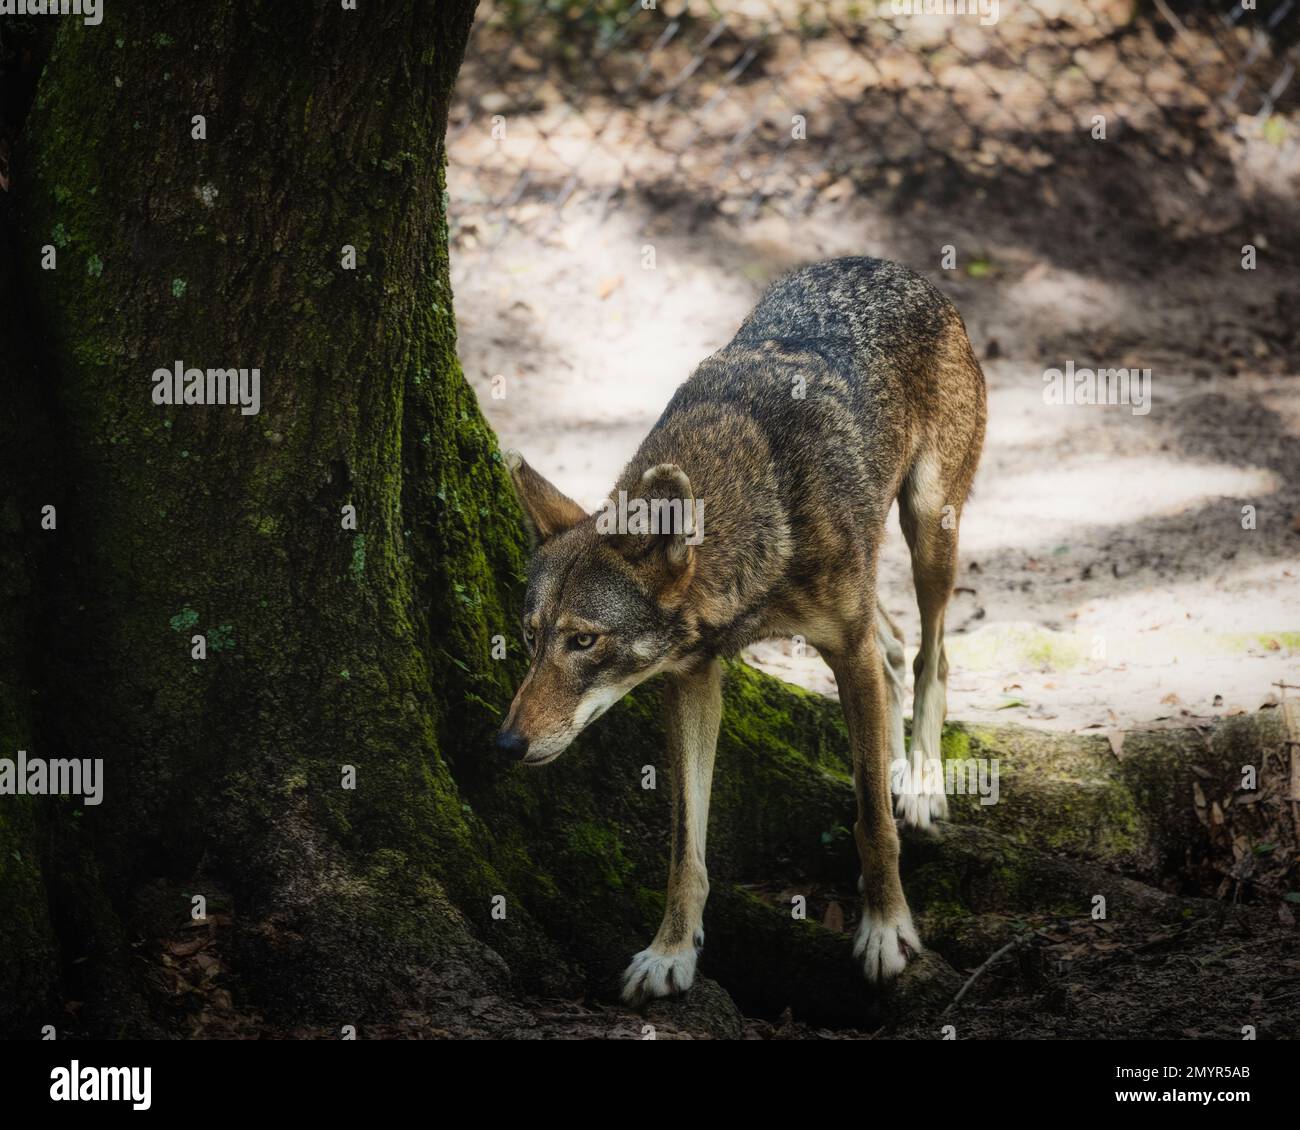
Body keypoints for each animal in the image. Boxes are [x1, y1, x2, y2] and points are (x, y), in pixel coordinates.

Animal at [496, 257, 986, 1004]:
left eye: (584, 641)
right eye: (530, 638)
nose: (507, 743)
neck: (760, 515)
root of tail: (889, 267)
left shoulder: (843, 648)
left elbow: (872, 820)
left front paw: (885, 929)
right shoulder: (692, 679)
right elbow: (685, 847)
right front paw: (671, 952)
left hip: (930, 527)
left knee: (933, 653)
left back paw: (924, 783)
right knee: (897, 648)